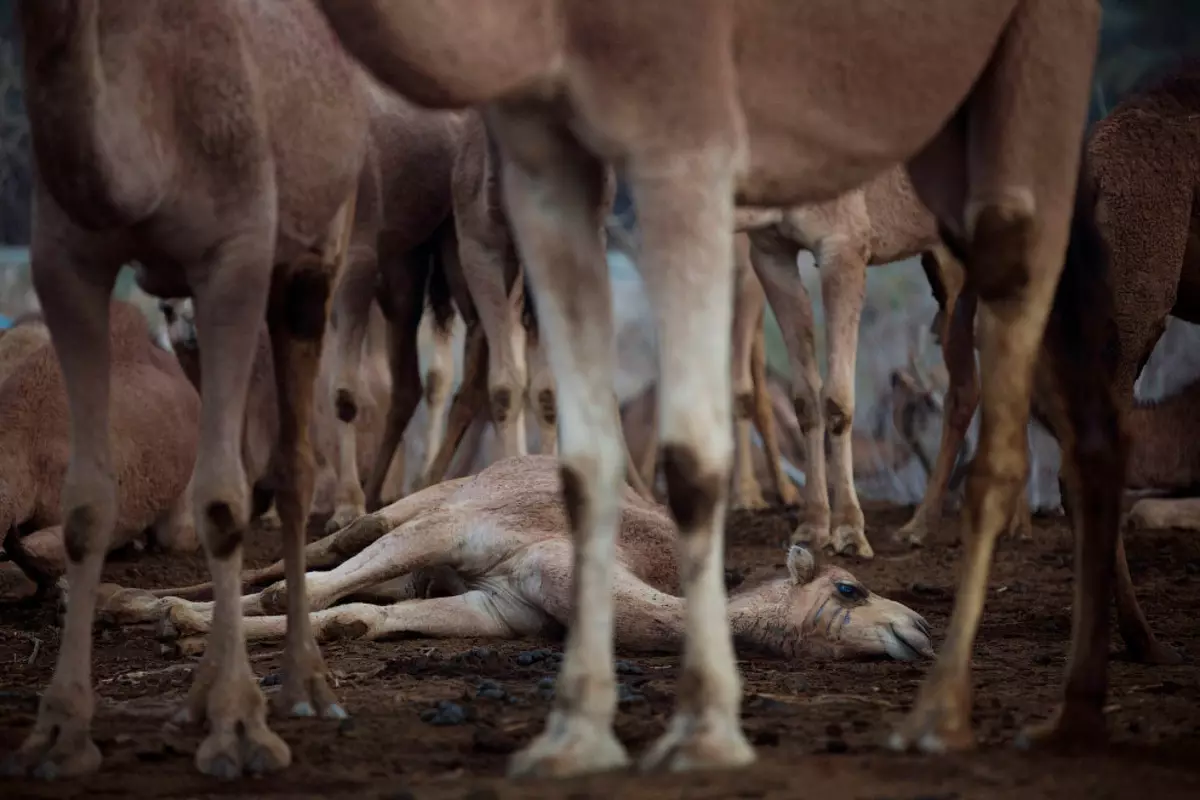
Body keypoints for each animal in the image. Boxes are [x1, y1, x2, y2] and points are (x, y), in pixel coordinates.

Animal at [93, 453, 936, 666]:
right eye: (851, 588)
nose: (923, 628)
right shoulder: (456, 533)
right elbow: (323, 586)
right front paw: (178, 621)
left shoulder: (500, 608)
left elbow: (360, 617)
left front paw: (180, 627)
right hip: (428, 503)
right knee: (325, 547)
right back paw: (124, 602)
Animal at [314, 0, 1118, 777]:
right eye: (848, 592)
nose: (918, 624)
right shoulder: (768, 248)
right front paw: (820, 526)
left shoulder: (838, 248)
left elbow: (830, 393)